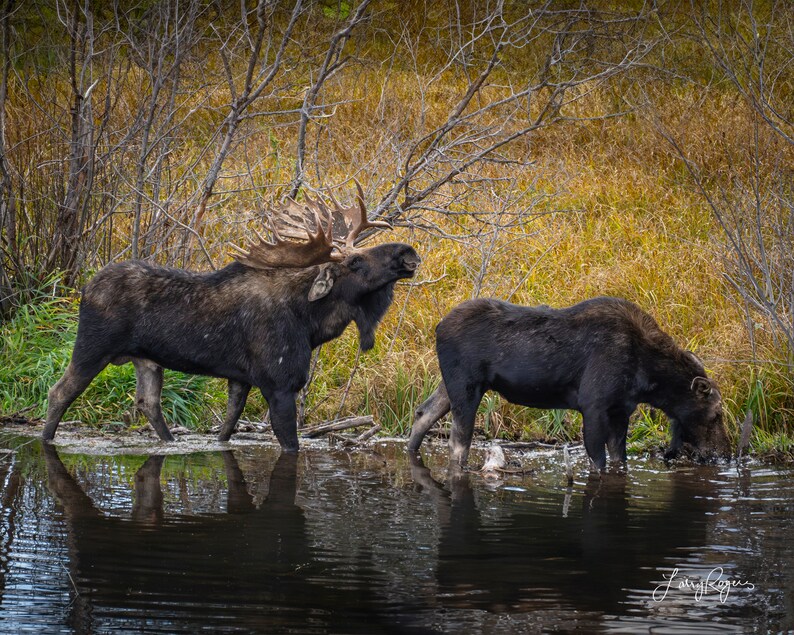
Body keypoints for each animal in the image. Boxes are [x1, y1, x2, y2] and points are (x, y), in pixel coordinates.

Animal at [44, 183, 420, 451]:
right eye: (355, 262)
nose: (407, 252)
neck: (312, 322)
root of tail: (85, 289)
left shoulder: (241, 379)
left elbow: (226, 429)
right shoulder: (279, 383)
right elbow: (290, 445)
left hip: (146, 360)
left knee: (147, 402)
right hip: (92, 347)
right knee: (58, 392)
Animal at [408, 297, 731, 470]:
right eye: (717, 414)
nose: (724, 454)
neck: (651, 381)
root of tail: (437, 327)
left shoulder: (621, 409)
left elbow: (619, 460)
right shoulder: (594, 404)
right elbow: (598, 461)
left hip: (454, 384)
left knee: (424, 412)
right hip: (467, 387)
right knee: (458, 442)